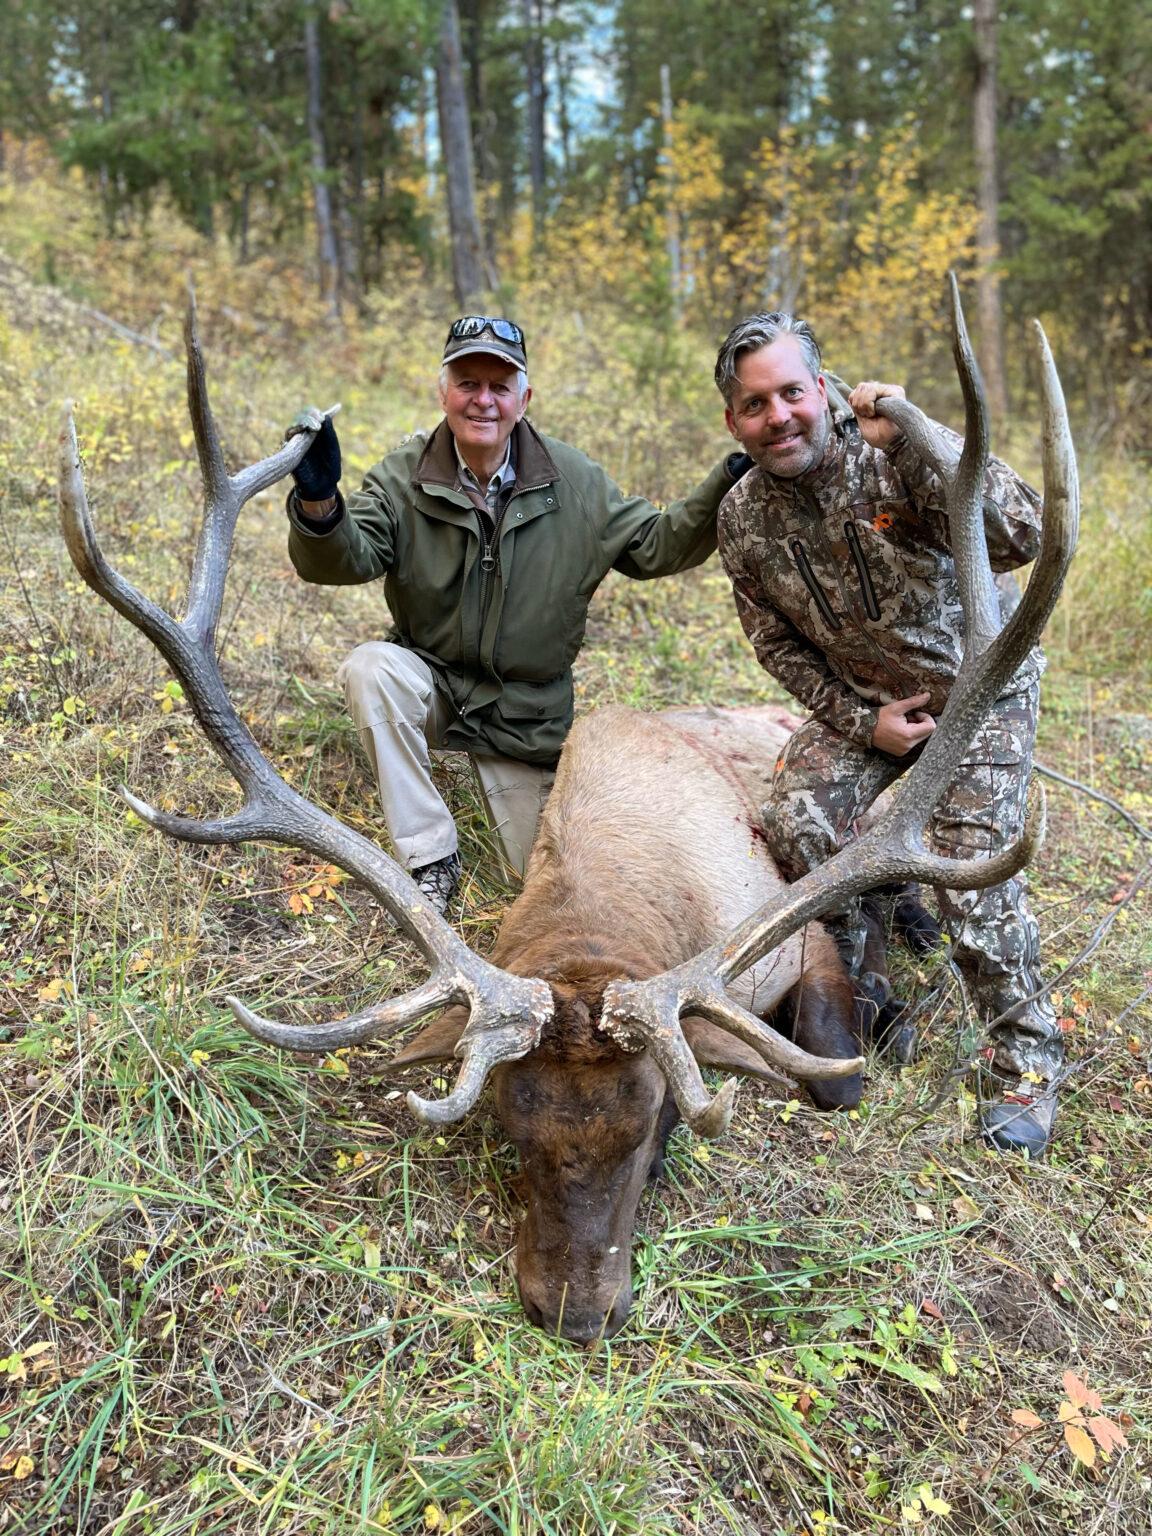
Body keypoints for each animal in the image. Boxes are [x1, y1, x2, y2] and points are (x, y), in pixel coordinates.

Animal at [58, 278, 1077, 1344]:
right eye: (510, 1121)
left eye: (660, 1122)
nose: (575, 1313)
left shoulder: (799, 948)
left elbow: (836, 1070)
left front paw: (885, 1021)